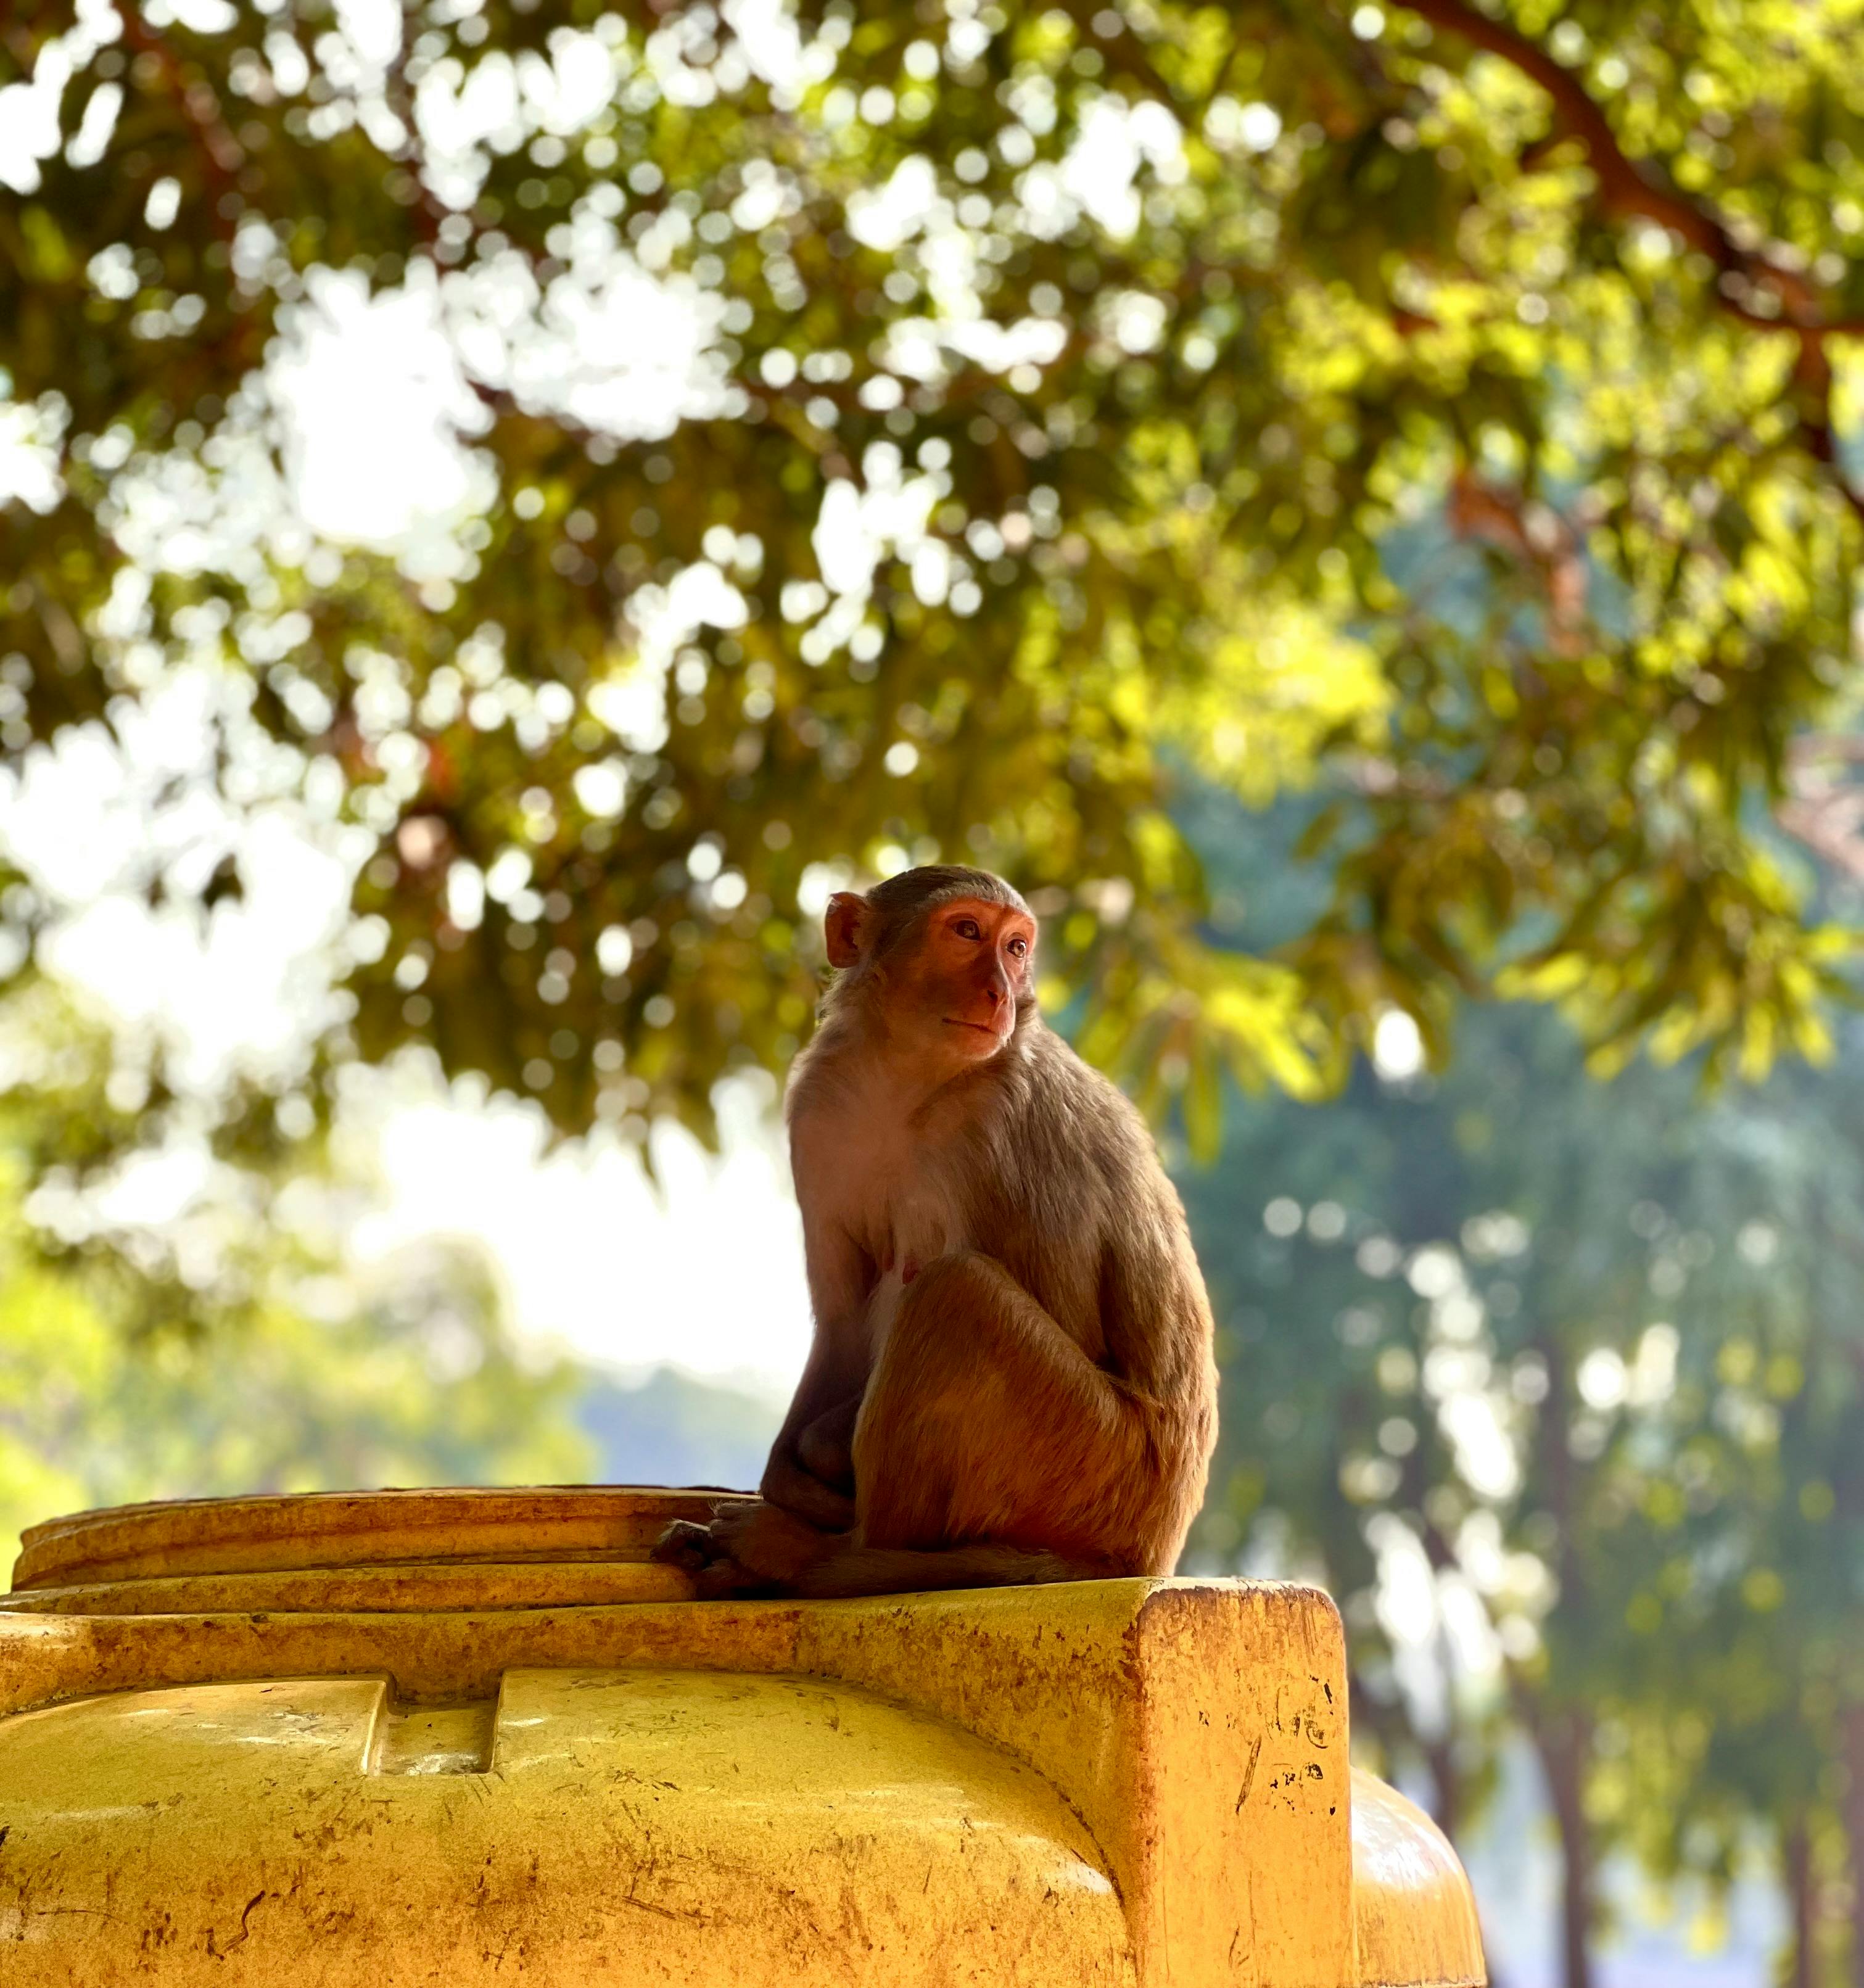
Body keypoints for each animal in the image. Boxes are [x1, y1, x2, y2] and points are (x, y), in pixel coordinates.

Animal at [653, 864, 1217, 1599]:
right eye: (967, 930)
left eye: (1015, 947)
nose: (1000, 991)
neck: (910, 1078)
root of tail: (1151, 1549)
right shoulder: (818, 1108)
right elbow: (841, 1320)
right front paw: (789, 1468)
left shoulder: (1008, 1126)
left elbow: (1073, 1320)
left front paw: (807, 1484)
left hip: (1094, 1463)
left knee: (956, 1291)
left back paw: (812, 1556)